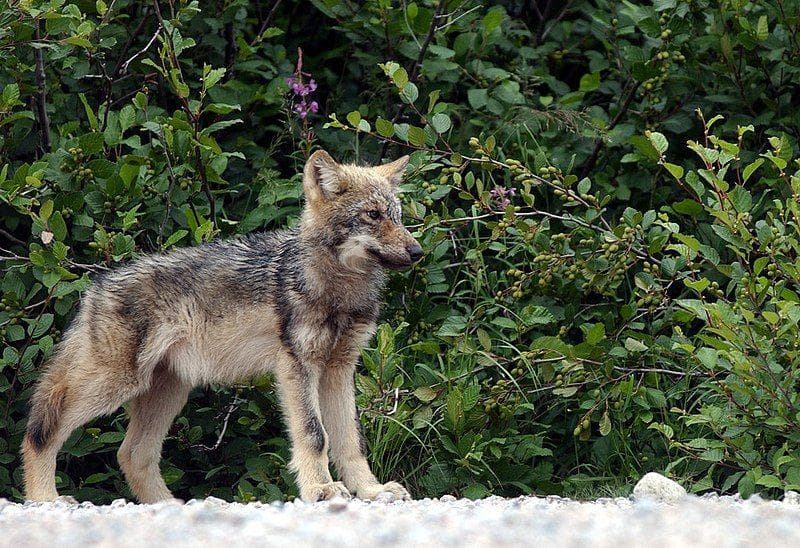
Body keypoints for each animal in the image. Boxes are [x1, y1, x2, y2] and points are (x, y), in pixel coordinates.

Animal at [21, 150, 422, 503]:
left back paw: (172, 507)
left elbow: (350, 441)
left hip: (167, 394)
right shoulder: (298, 367)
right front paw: (321, 490)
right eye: (373, 215)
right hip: (112, 388)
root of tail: (94, 288)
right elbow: (315, 434)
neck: (338, 287)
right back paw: (45, 499)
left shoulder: (339, 369)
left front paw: (371, 491)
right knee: (40, 433)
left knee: (131, 455)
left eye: (398, 217)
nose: (418, 252)